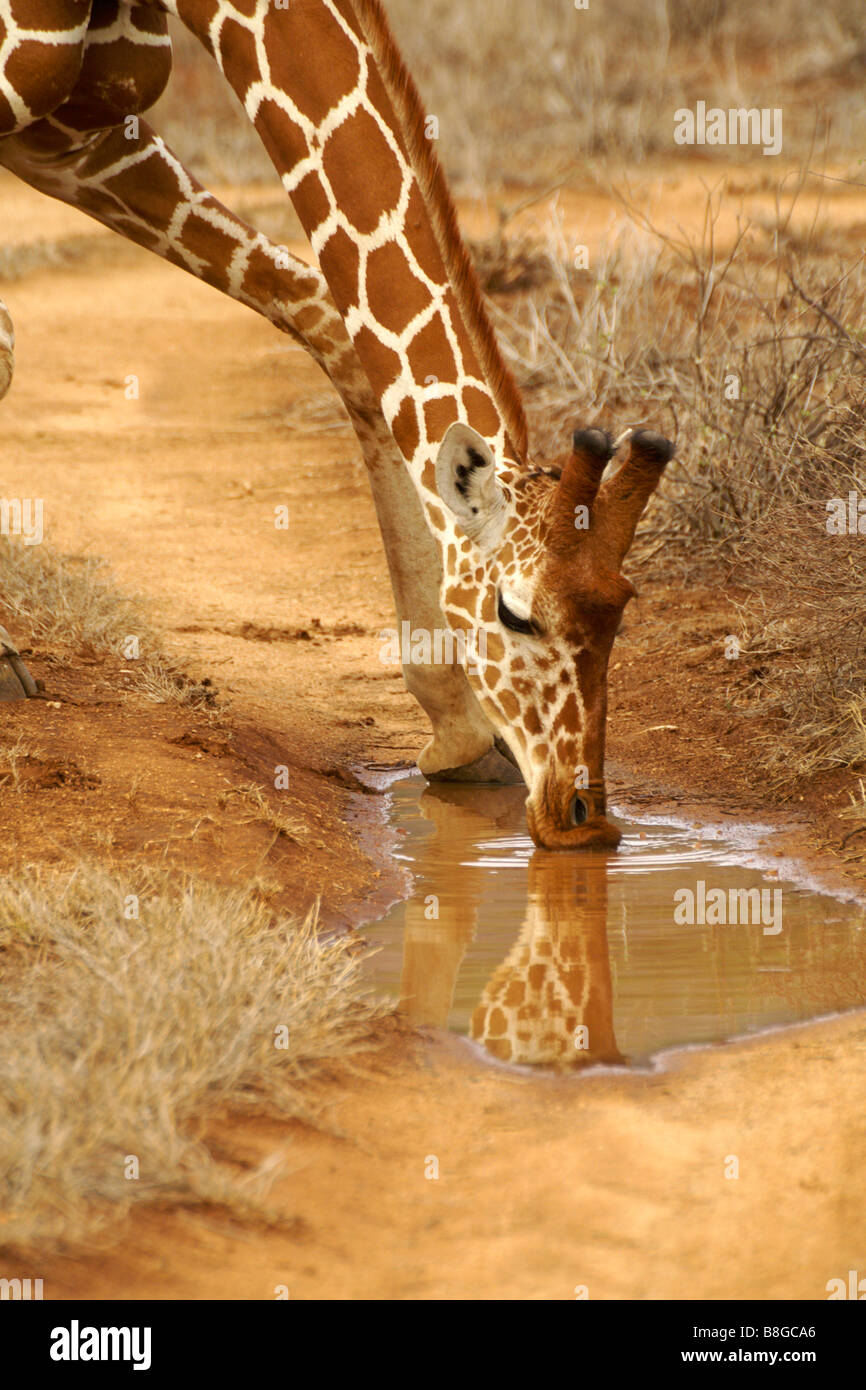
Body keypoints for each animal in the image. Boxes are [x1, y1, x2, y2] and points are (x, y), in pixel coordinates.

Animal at [0, 0, 674, 850]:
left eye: (622, 607)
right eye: (514, 614)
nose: (582, 819)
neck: (221, 16)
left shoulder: (77, 132)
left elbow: (327, 317)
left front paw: (456, 729)